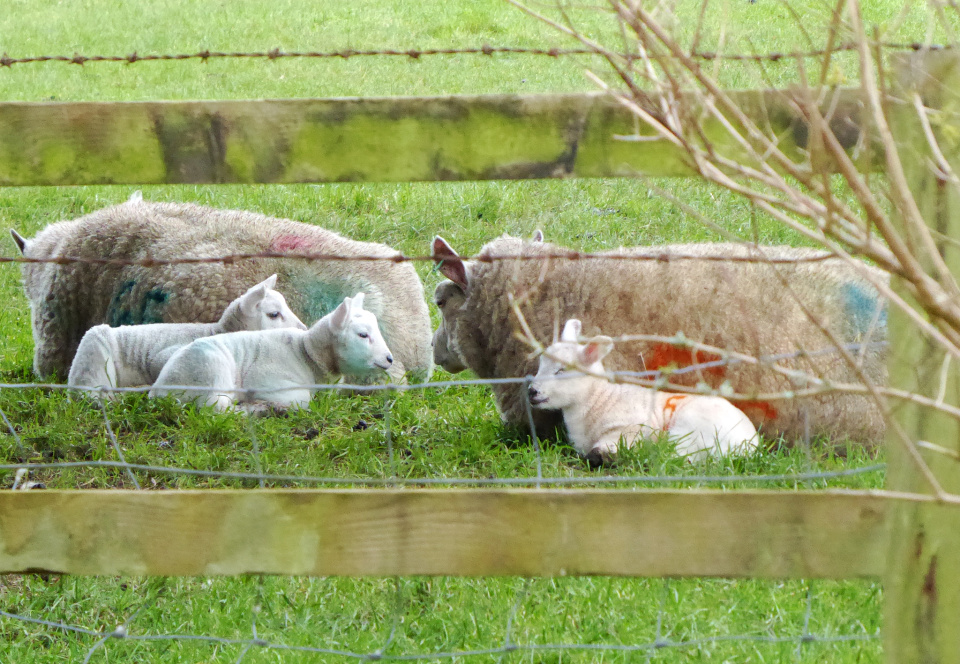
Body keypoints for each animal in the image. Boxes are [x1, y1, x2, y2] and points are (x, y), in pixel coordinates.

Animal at [150, 293, 393, 413]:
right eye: (363, 335)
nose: (389, 359)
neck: (306, 354)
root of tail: (158, 390)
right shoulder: (267, 380)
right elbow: (303, 399)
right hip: (212, 370)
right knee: (215, 408)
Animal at [529, 319, 759, 464]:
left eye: (561, 371)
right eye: (540, 364)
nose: (531, 391)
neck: (597, 399)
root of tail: (749, 446)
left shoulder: (629, 428)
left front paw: (602, 458)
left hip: (692, 431)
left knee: (677, 456)